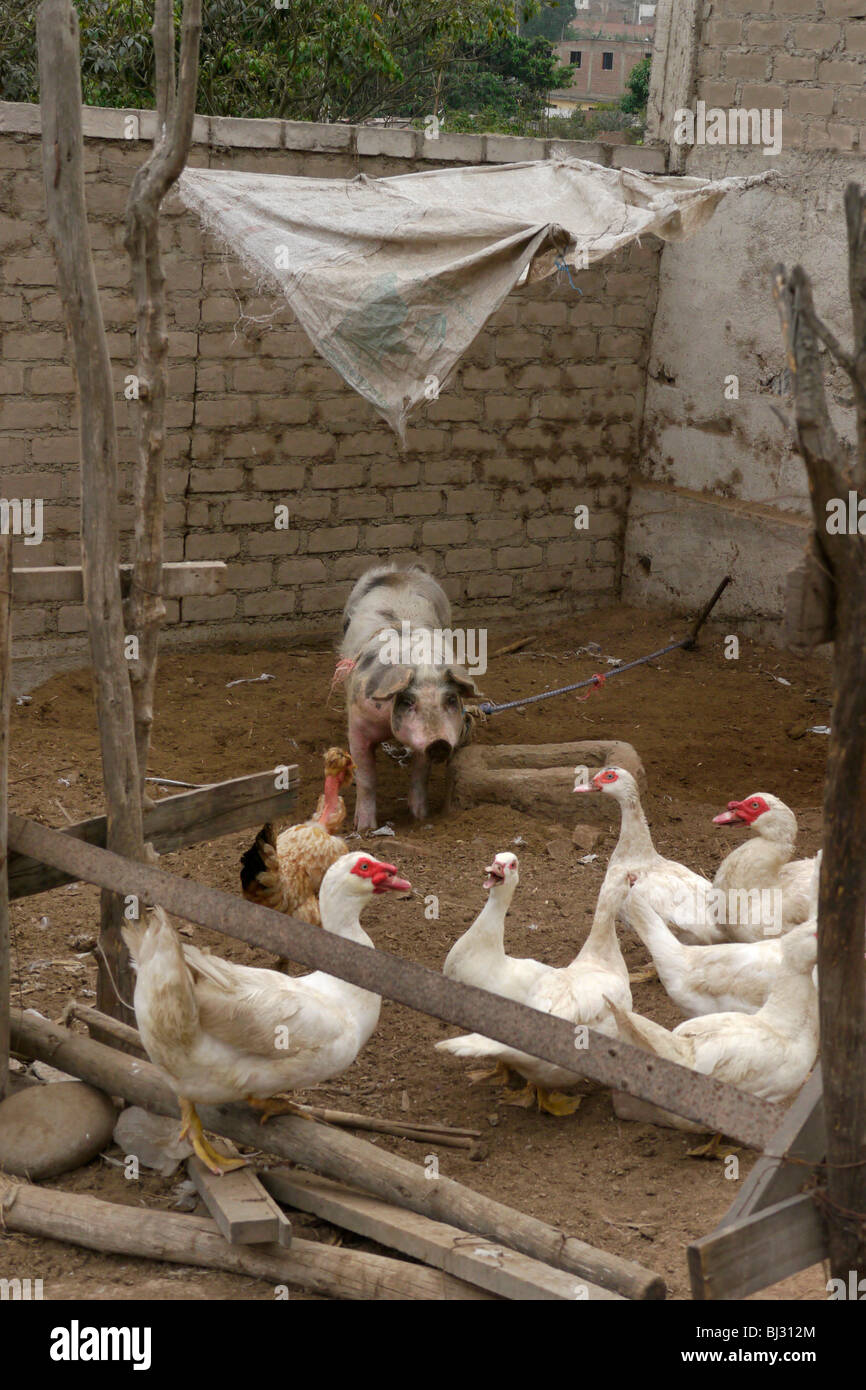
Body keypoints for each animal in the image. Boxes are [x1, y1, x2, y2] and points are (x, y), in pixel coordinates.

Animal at [338, 564, 483, 829]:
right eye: (408, 702)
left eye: (450, 700)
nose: (439, 743)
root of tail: (400, 571)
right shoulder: (358, 725)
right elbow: (367, 778)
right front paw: (364, 828)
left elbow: (420, 775)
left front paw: (420, 818)